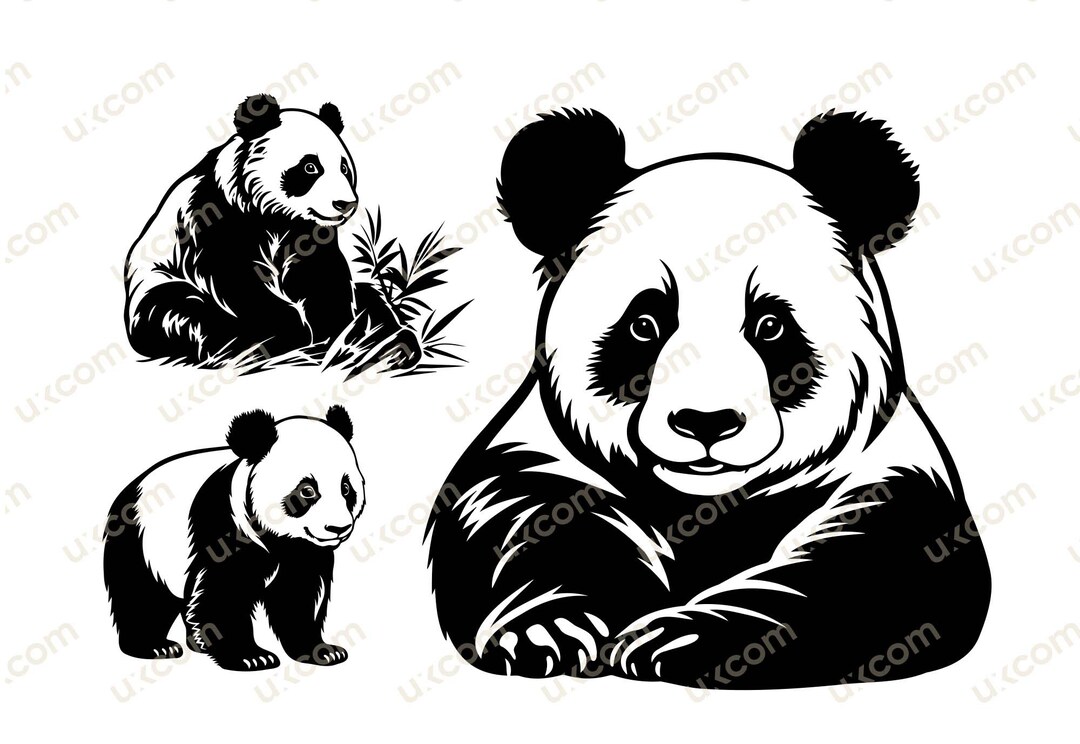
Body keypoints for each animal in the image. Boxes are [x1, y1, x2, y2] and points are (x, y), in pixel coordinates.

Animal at [104, 405, 364, 671]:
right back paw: (155, 646)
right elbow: (223, 594)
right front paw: (251, 657)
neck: (279, 540)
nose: (338, 528)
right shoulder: (225, 527)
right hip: (140, 541)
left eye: (346, 488)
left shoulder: (306, 552)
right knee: (142, 595)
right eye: (307, 491)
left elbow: (299, 596)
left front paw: (322, 651)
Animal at [123, 93, 419, 371]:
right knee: (187, 314)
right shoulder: (214, 213)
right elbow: (235, 274)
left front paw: (335, 332)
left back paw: (393, 344)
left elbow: (321, 276)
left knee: (372, 299)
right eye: (310, 167)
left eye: (344, 167)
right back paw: (250, 347)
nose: (345, 204)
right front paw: (293, 328)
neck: (276, 215)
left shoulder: (307, 229)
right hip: (160, 290)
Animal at [425, 109, 992, 689]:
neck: (706, 501)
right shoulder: (541, 453)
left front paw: (684, 642)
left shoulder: (885, 470)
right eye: (645, 324)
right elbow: (534, 525)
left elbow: (874, 567)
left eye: (770, 325)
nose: (706, 423)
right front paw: (548, 632)